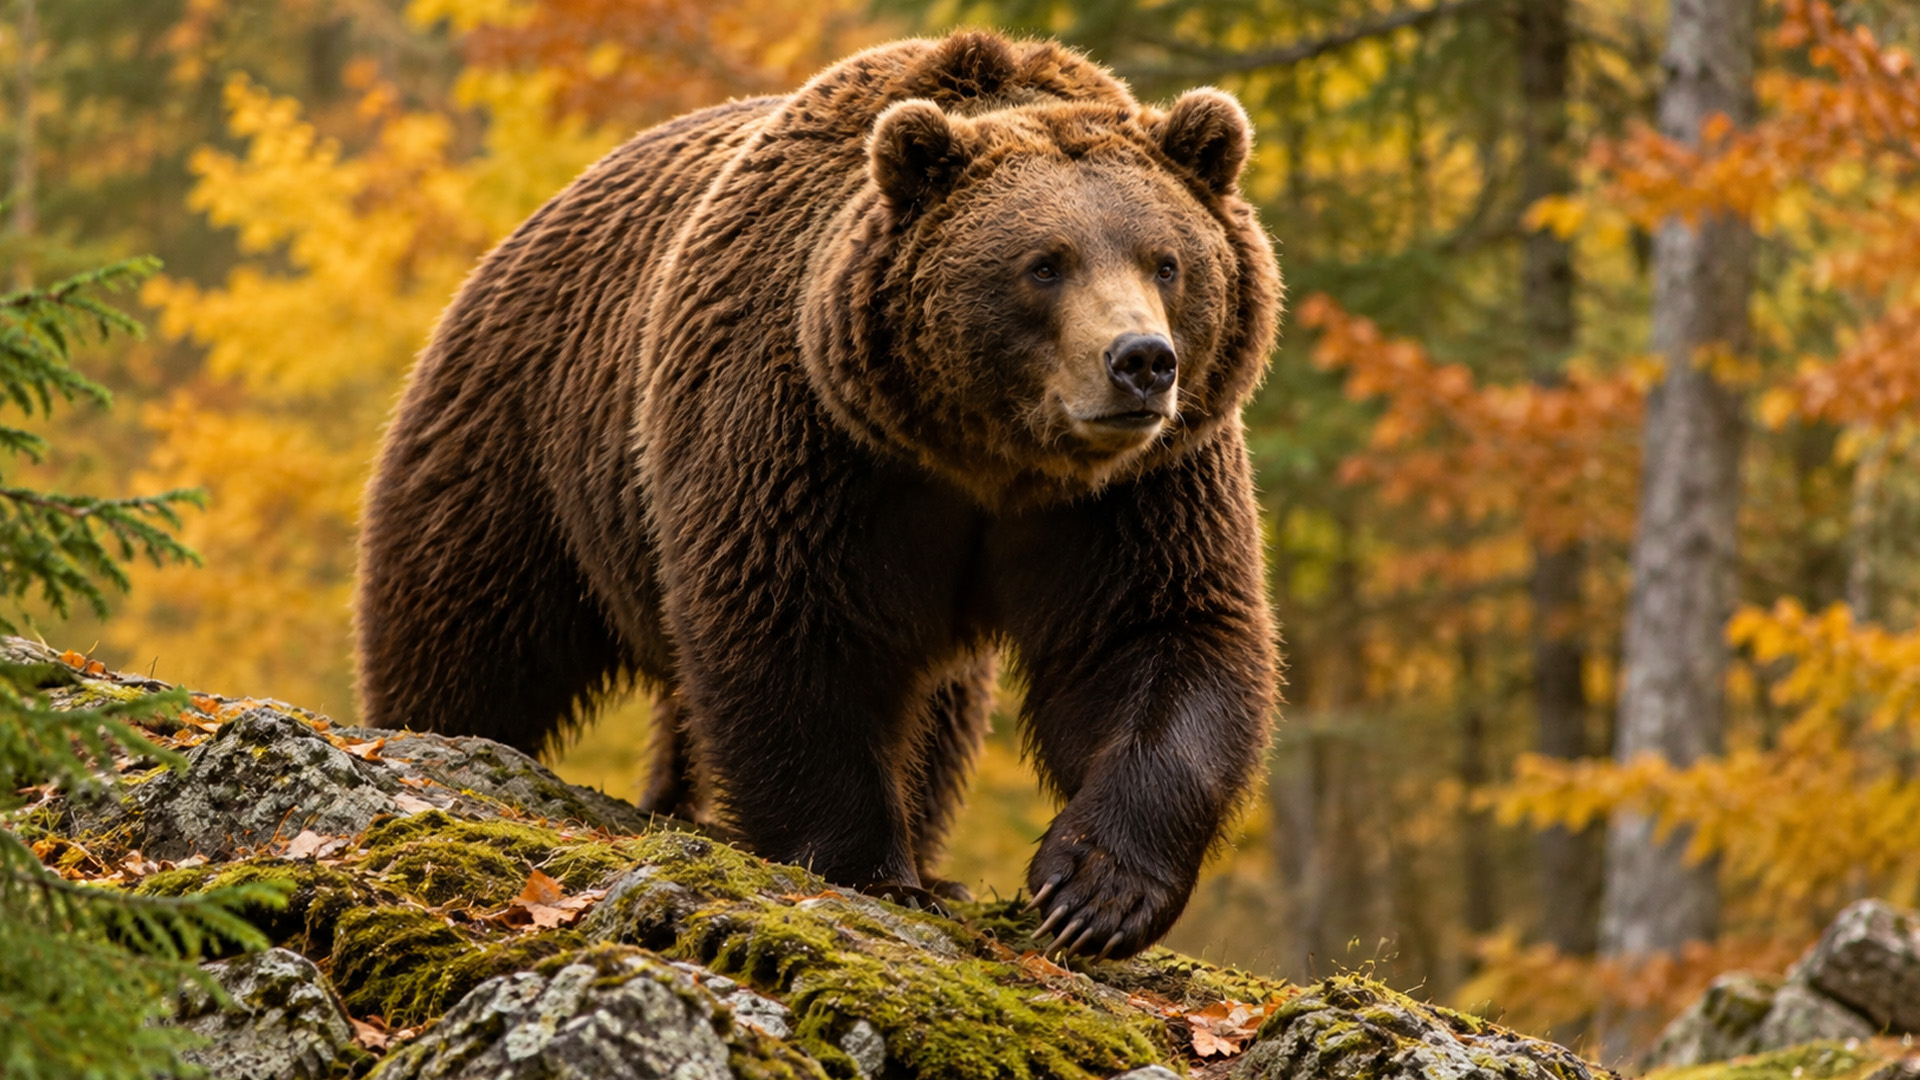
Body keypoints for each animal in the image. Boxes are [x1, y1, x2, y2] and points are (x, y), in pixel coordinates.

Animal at [356, 29, 1281, 959]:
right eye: (1044, 264)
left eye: (1167, 262)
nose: (1141, 361)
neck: (985, 456)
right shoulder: (811, 440)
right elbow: (791, 626)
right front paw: (867, 866)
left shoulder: (1135, 488)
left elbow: (1159, 633)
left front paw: (1092, 891)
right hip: (525, 442)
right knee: (467, 627)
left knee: (939, 717)